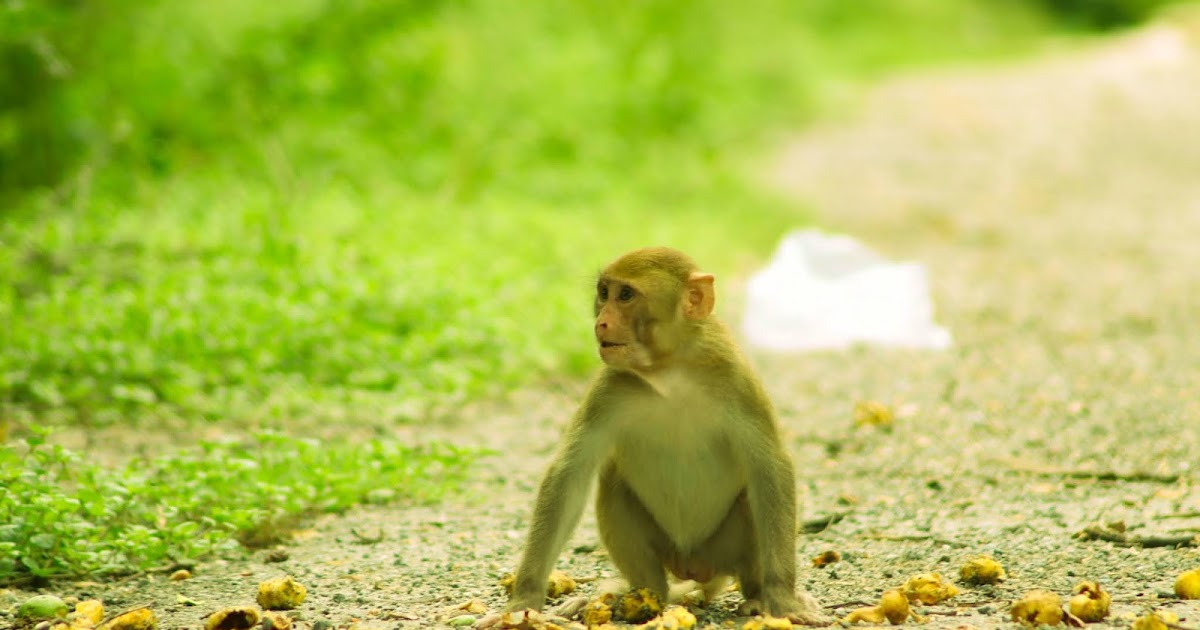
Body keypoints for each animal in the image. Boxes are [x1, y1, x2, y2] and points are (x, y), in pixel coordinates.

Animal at [500, 247, 829, 625]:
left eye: (626, 295)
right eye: (603, 293)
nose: (601, 323)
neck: (670, 372)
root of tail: (692, 565)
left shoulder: (736, 379)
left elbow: (770, 467)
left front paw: (782, 597)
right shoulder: (609, 388)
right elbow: (569, 475)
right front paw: (524, 601)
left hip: (721, 549)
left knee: (754, 498)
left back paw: (756, 595)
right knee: (613, 486)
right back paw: (641, 596)